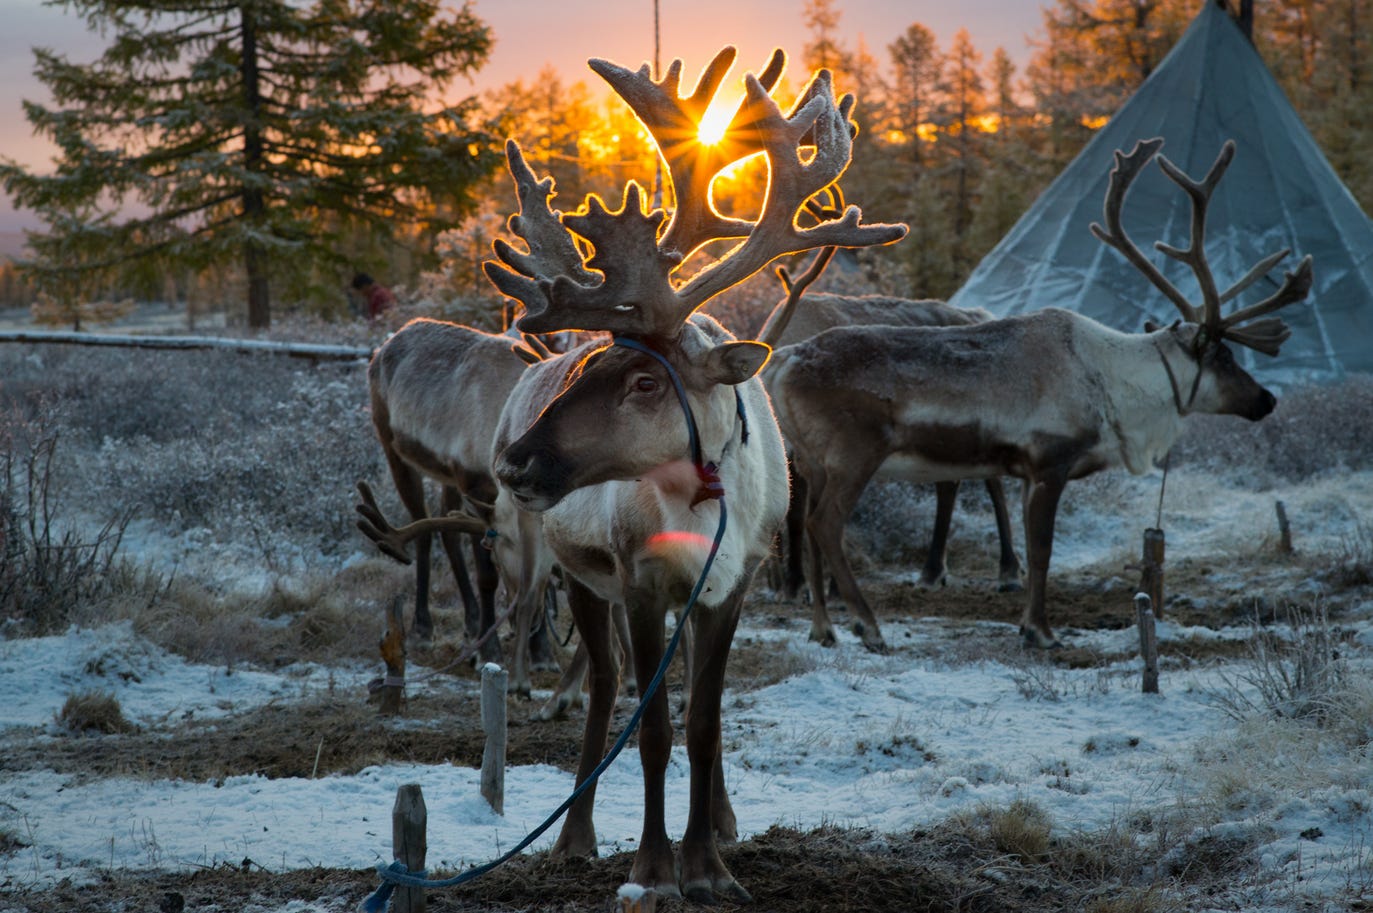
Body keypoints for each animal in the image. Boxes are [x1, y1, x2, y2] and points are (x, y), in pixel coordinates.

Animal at [483, 47, 905, 903]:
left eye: (646, 380)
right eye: (590, 363)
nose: (513, 460)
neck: (699, 505)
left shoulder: (730, 584)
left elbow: (705, 719)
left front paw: (709, 862)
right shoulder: (642, 583)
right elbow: (650, 725)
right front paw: (652, 867)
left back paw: (722, 818)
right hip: (582, 576)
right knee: (607, 683)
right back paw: (574, 836)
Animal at [767, 137, 1311, 651]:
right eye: (1224, 357)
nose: (1266, 399)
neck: (1113, 385)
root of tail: (784, 360)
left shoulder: (1027, 472)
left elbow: (1030, 549)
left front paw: (1028, 622)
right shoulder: (1051, 462)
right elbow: (1044, 552)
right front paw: (1042, 632)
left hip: (812, 460)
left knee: (808, 524)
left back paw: (822, 628)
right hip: (854, 455)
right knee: (825, 524)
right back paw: (868, 625)